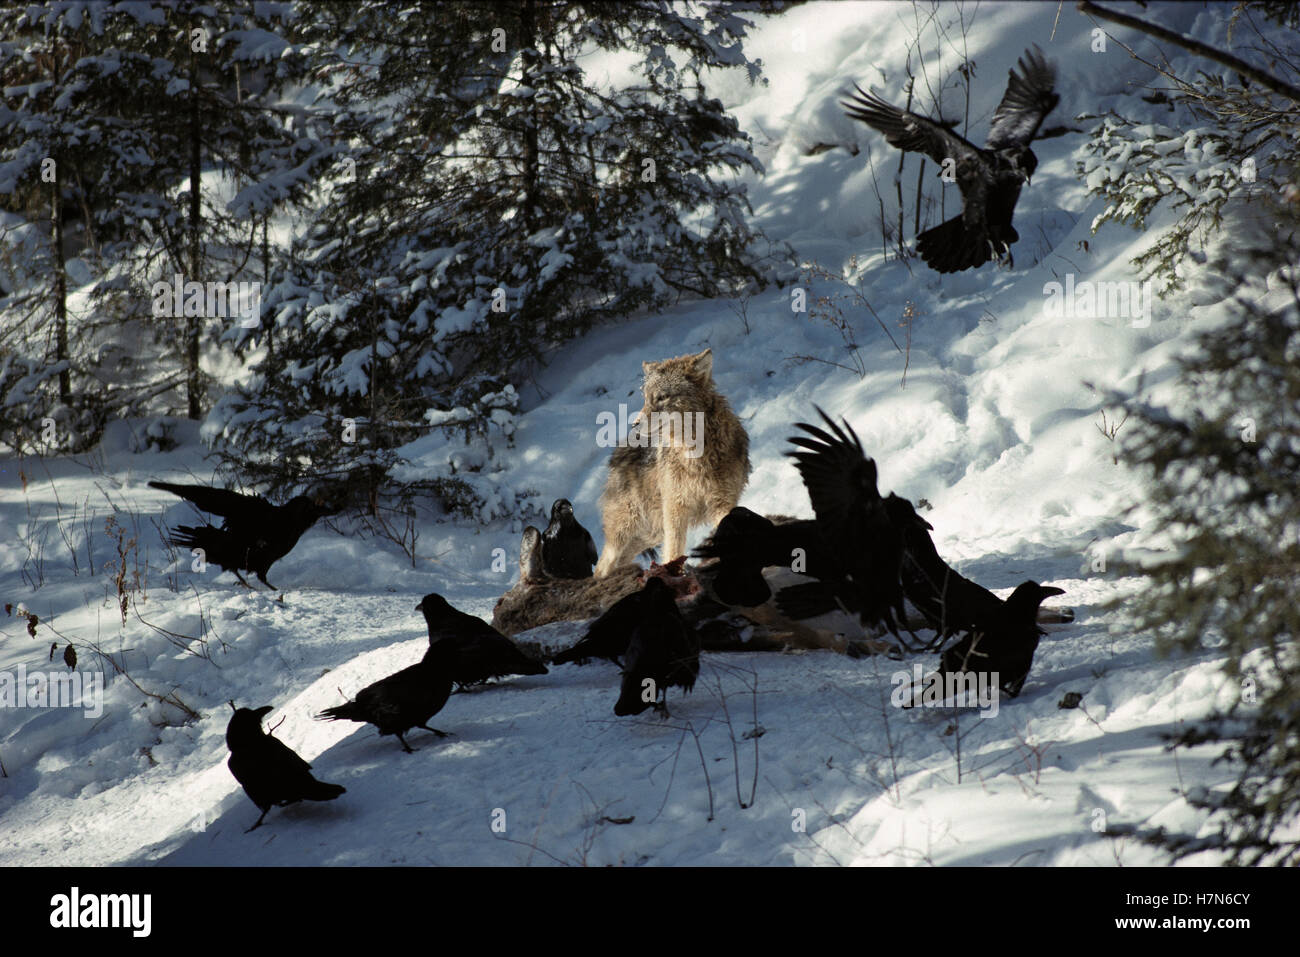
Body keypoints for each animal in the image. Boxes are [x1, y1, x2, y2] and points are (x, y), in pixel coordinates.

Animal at [594, 348, 749, 576]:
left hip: (650, 532)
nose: (635, 424)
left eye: (662, 397)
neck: (694, 456)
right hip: (626, 531)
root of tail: (617, 452)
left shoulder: (722, 504)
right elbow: (674, 553)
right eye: (646, 399)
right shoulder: (675, 510)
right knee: (601, 566)